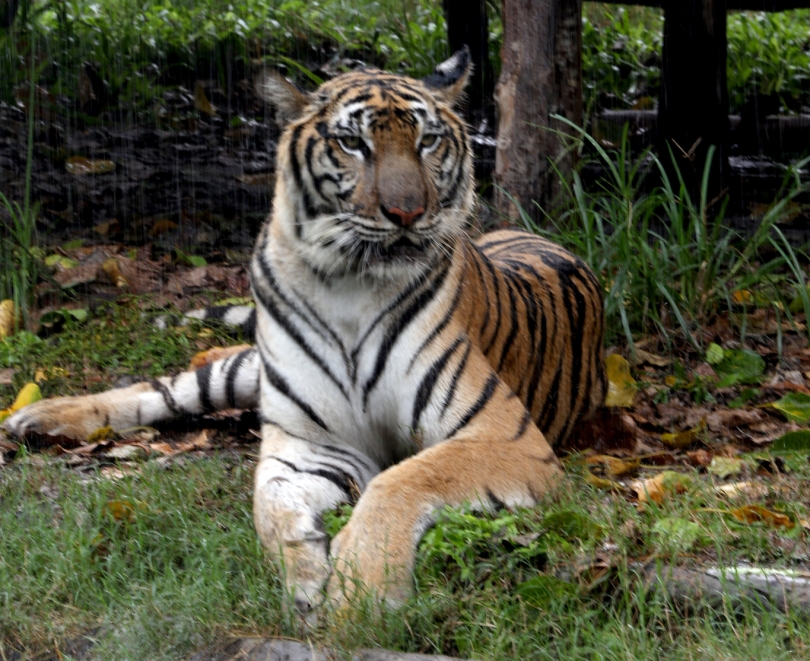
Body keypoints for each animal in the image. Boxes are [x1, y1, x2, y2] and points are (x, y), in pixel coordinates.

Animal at [4, 47, 606, 611]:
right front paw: (307, 572)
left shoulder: (506, 437)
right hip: (246, 368)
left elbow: (402, 480)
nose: (406, 213)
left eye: (429, 141)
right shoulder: (310, 443)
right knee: (165, 388)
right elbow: (271, 505)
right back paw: (41, 416)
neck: (349, 283)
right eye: (353, 143)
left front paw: (361, 595)